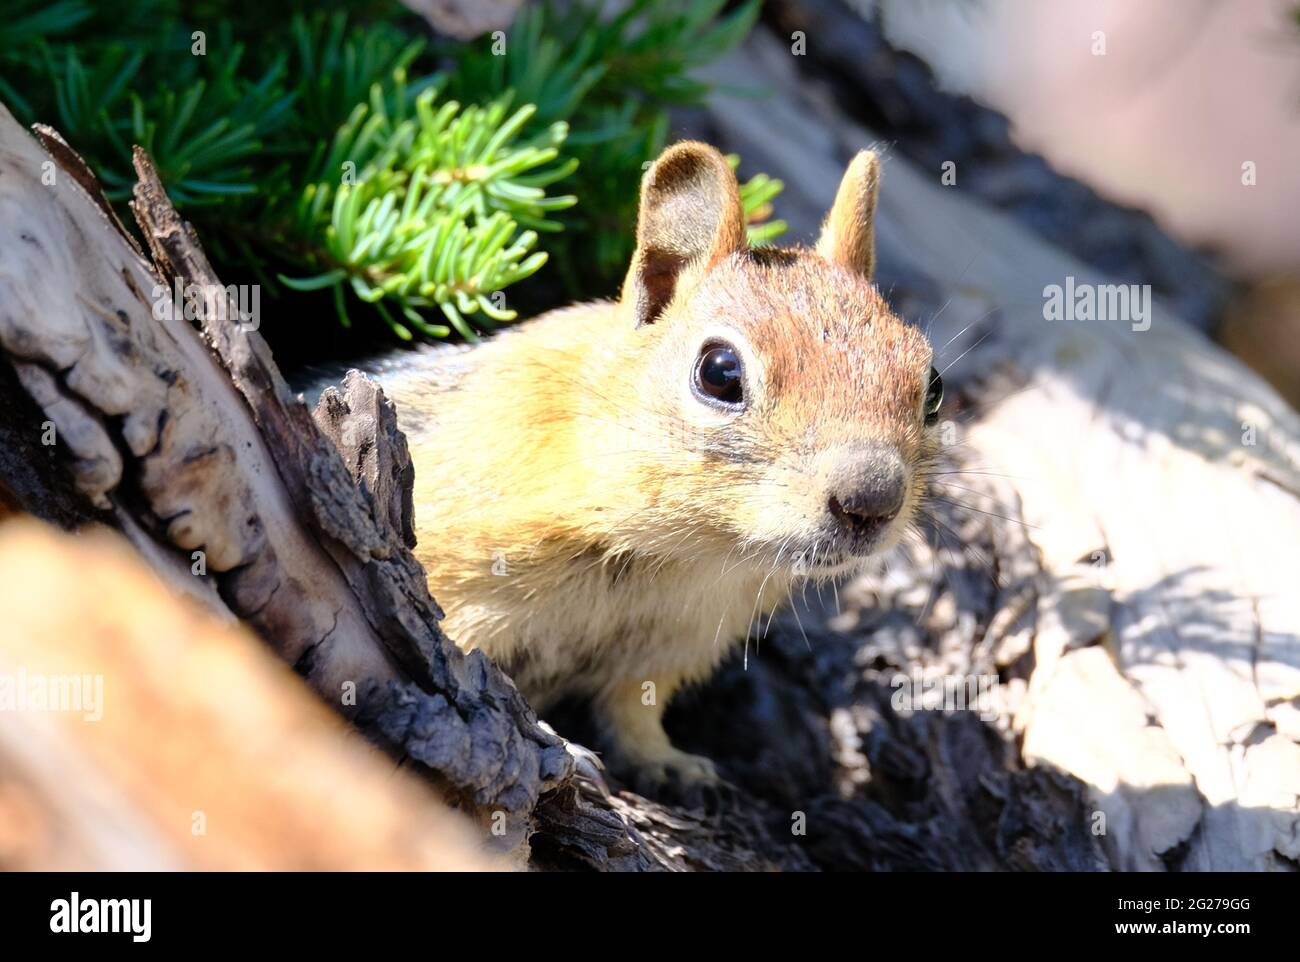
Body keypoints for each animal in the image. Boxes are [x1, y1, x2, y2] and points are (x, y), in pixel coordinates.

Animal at [348, 142, 942, 801]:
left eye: (933, 387)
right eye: (720, 372)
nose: (873, 500)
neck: (684, 555)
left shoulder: (668, 650)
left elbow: (634, 711)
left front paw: (671, 764)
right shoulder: (458, 581)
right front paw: (564, 748)